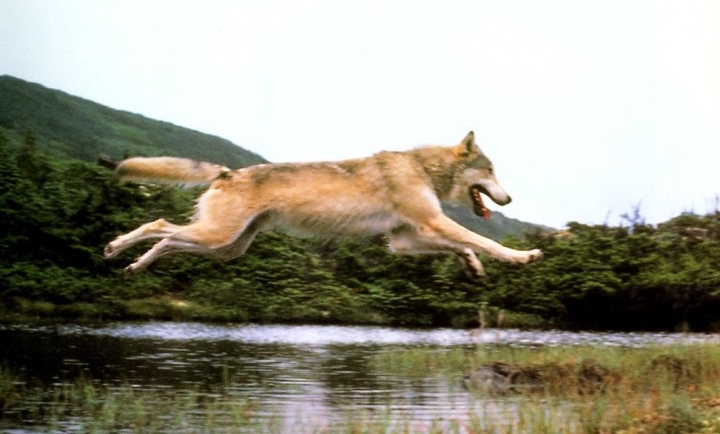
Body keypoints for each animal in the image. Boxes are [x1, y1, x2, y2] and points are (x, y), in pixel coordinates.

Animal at [104, 131, 542, 277]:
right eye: (491, 171)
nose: (510, 198)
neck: (423, 168)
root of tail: (228, 173)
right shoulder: (428, 225)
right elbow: (484, 241)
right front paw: (523, 257)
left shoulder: (404, 241)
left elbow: (464, 246)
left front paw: (472, 265)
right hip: (217, 237)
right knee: (158, 225)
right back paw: (116, 247)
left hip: (225, 248)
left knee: (168, 241)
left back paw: (133, 265)